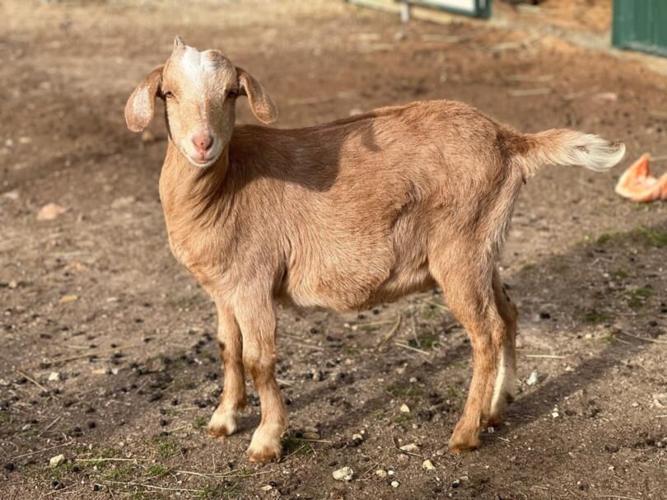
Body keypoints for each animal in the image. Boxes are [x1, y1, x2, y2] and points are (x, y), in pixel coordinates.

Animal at [125, 37, 625, 463]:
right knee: (508, 316)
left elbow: (258, 360)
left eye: (231, 93)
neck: (225, 189)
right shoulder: (223, 289)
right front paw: (224, 419)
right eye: (168, 92)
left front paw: (266, 440)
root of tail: (510, 142)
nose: (202, 143)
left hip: (459, 250)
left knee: (485, 333)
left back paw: (465, 432)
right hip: (486, 249)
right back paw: (497, 407)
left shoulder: (253, 282)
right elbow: (228, 350)